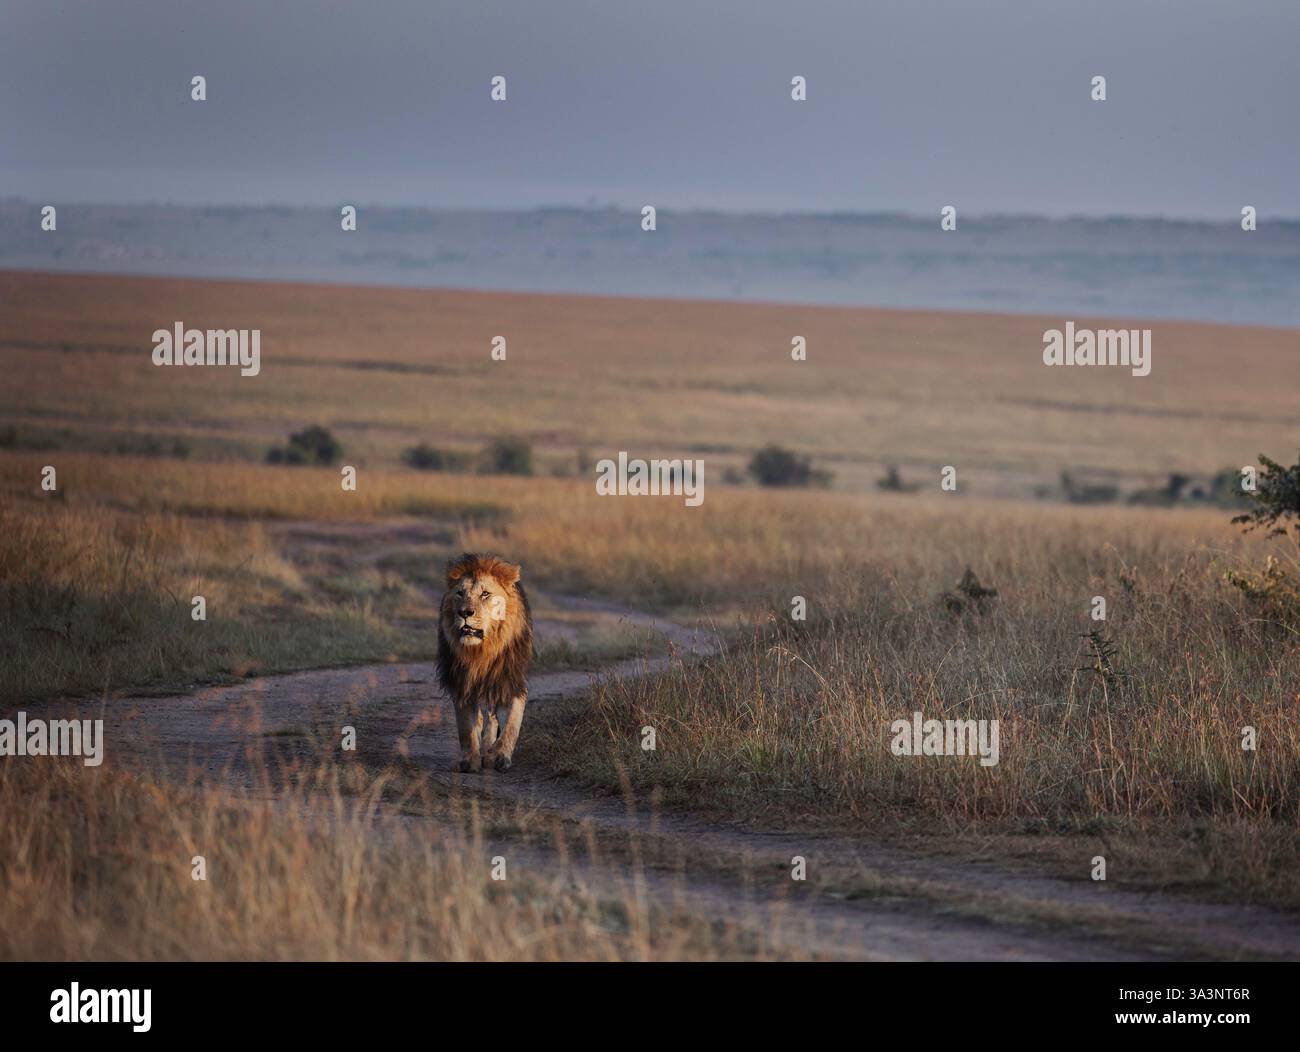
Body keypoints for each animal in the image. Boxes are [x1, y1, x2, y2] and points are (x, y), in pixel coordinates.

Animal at [435, 553, 533, 772]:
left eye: (485, 594)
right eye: (460, 593)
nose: (464, 613)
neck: (482, 652)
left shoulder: (510, 681)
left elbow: (511, 722)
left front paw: (499, 755)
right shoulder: (462, 683)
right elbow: (465, 726)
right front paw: (469, 760)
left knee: (493, 718)